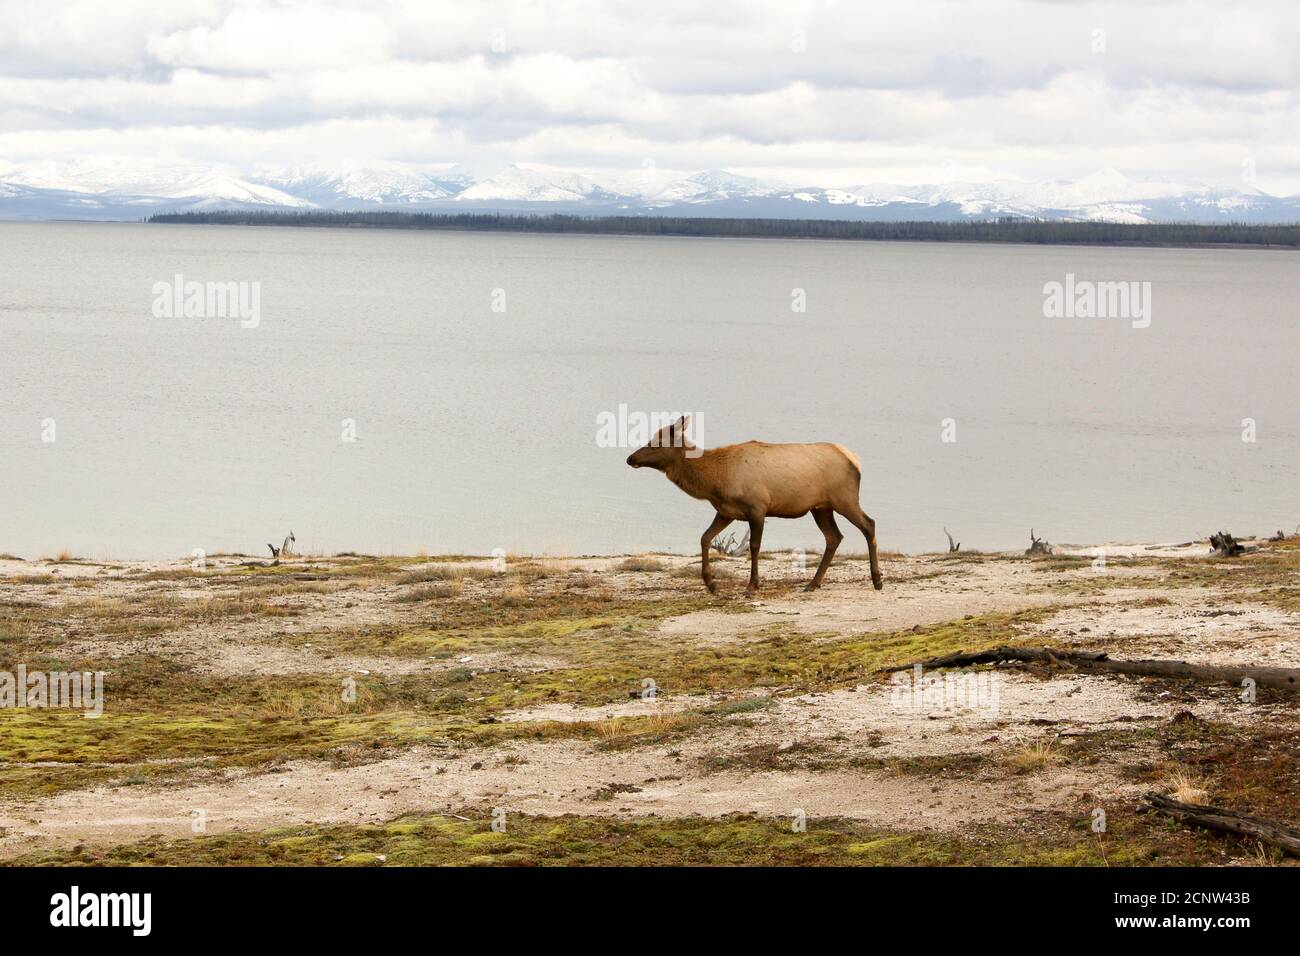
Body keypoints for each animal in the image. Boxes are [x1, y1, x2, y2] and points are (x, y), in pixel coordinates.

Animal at [626, 416, 882, 594]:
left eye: (657, 442)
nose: (631, 458)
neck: (715, 481)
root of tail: (855, 460)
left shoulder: (757, 507)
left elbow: (755, 546)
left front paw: (752, 586)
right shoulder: (725, 511)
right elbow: (705, 538)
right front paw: (710, 584)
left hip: (844, 498)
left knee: (868, 524)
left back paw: (877, 580)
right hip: (820, 507)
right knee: (834, 537)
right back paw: (813, 583)